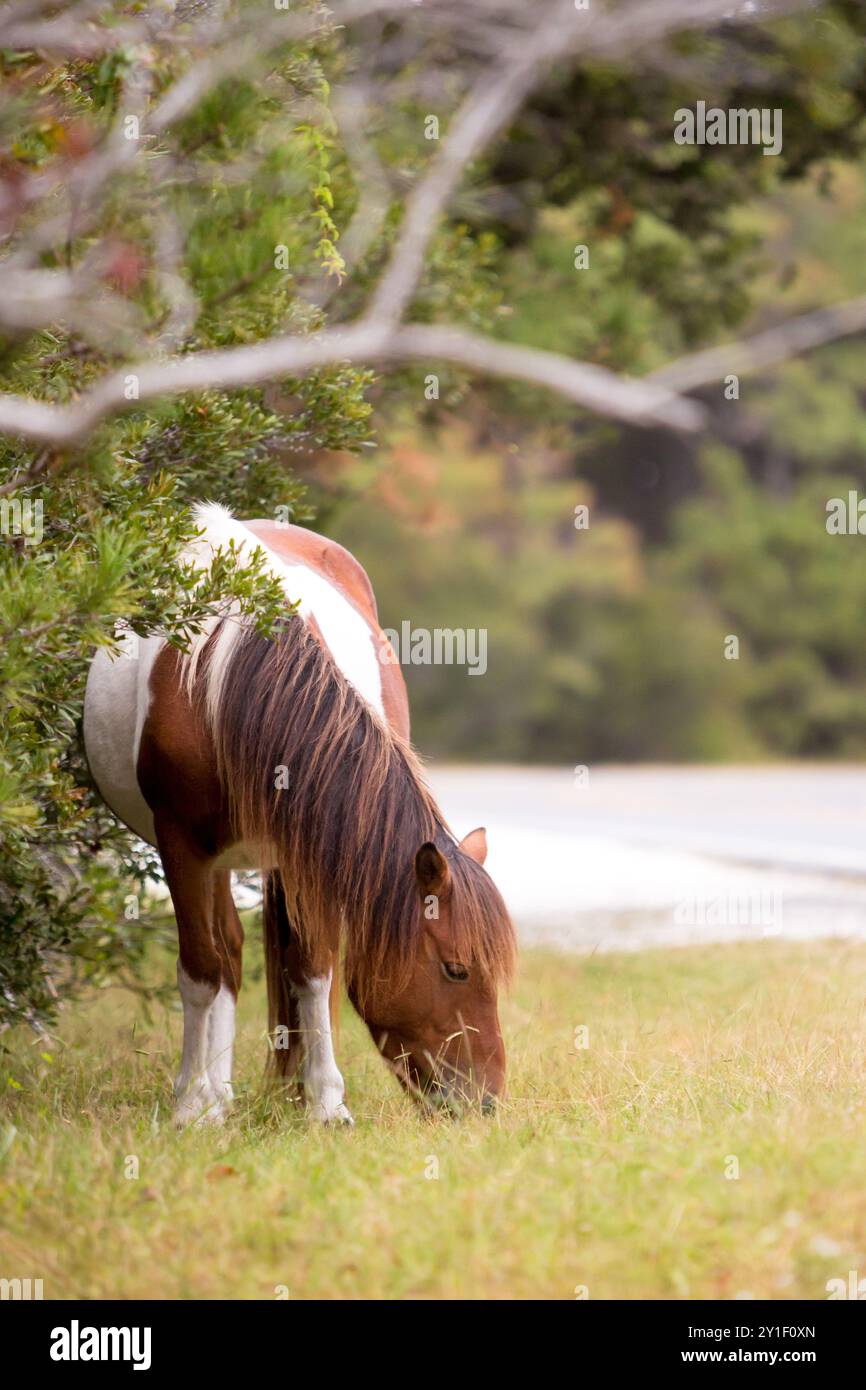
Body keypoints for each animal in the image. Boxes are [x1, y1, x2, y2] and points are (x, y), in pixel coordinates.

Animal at [83, 503, 516, 1126]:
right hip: (213, 860)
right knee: (224, 958)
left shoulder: (303, 849)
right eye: (456, 969)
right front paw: (191, 1103)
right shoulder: (181, 844)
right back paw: (213, 1096)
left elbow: (311, 968)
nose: (484, 1101)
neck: (227, 687)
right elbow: (200, 972)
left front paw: (326, 1104)